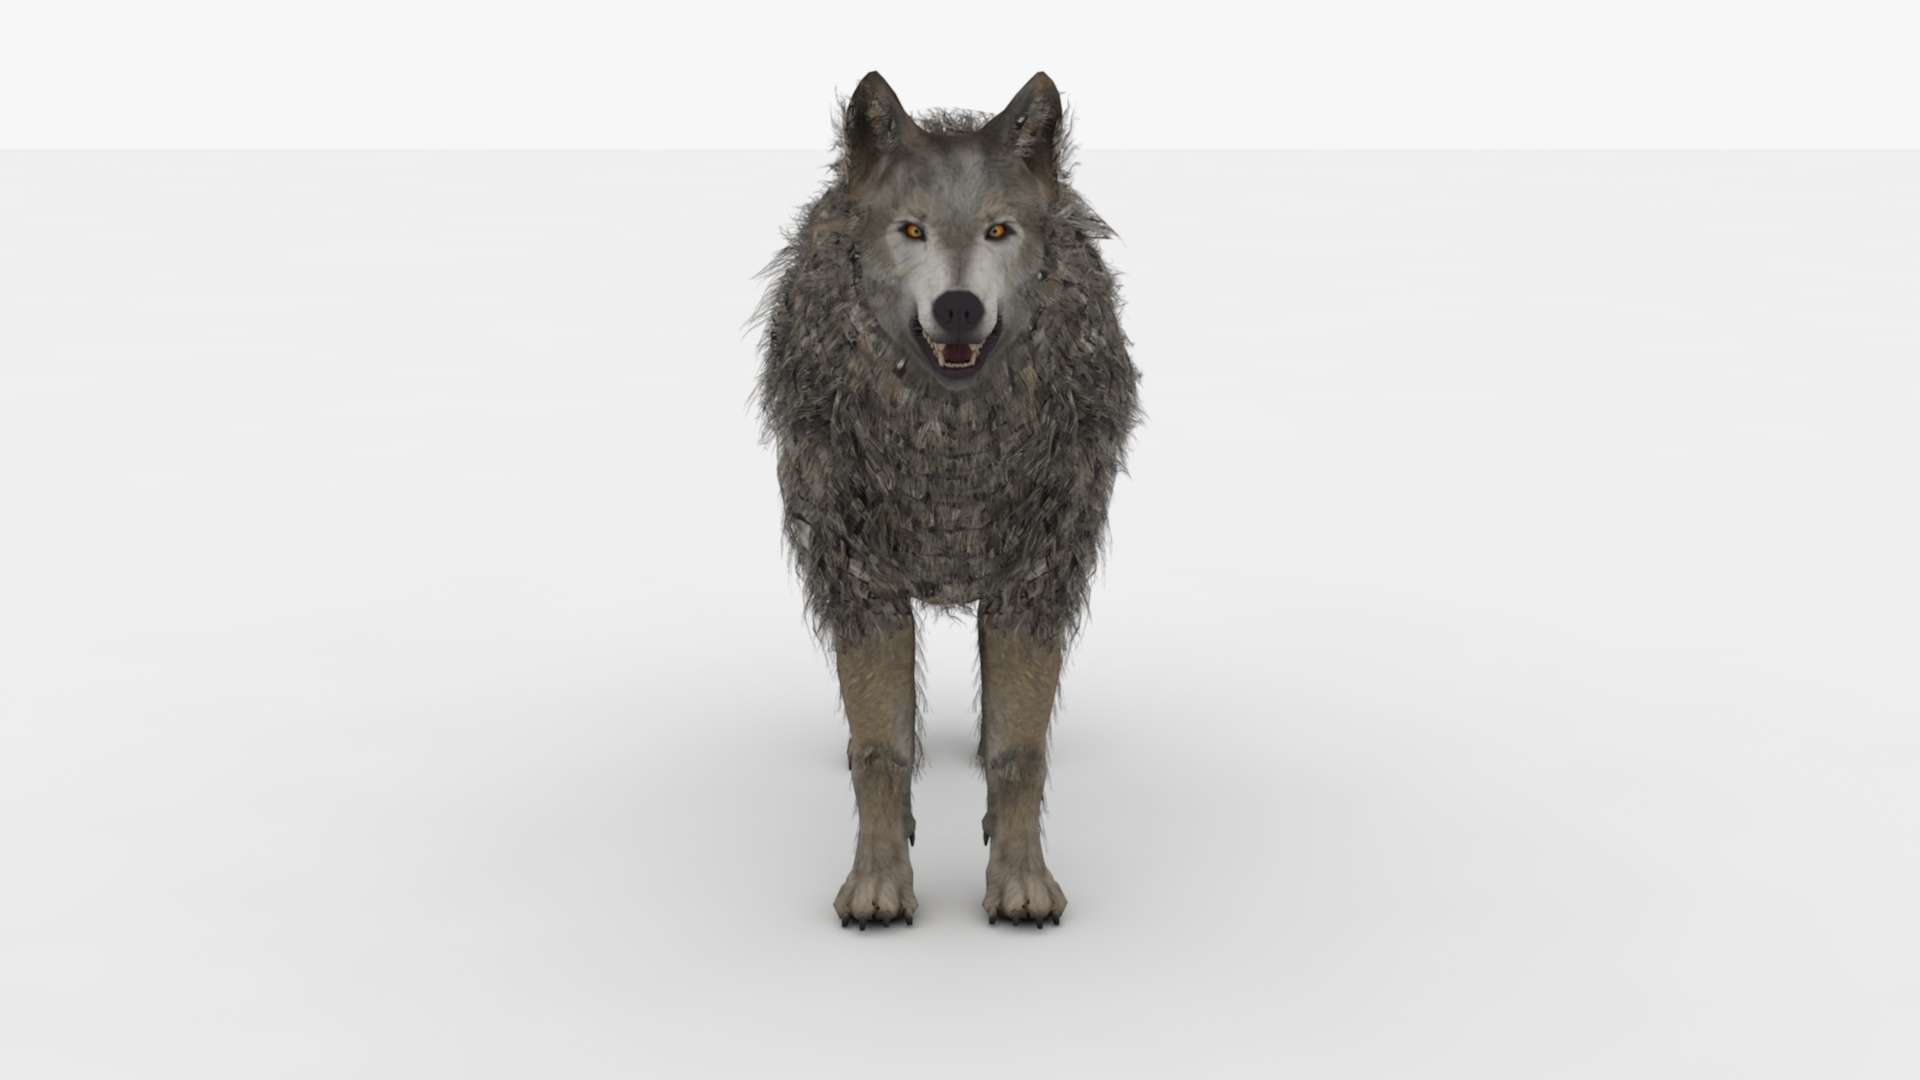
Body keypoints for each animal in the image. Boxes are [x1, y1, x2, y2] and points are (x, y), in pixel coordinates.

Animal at [753, 71, 1140, 929]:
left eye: (999, 230)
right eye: (912, 230)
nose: (958, 307)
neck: (952, 445)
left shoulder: (1036, 576)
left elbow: (1020, 751)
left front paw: (1022, 882)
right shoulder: (859, 577)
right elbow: (879, 750)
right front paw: (877, 884)